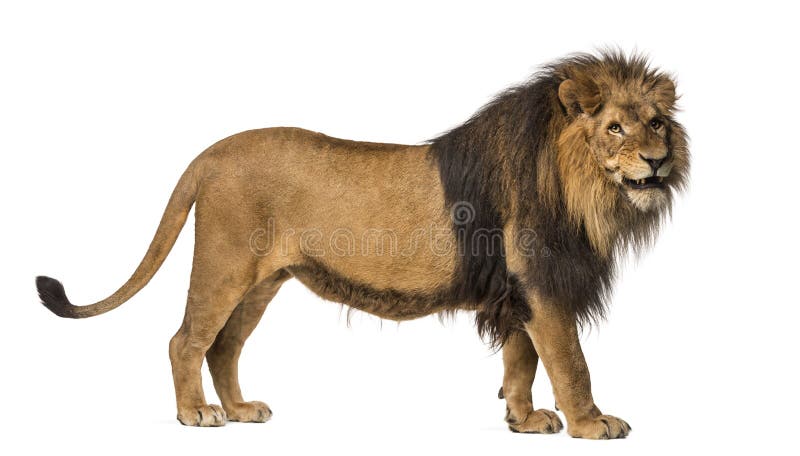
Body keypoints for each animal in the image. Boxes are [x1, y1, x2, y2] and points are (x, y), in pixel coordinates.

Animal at [36, 51, 689, 439]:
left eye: (657, 122)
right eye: (615, 127)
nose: (657, 161)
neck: (586, 191)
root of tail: (211, 153)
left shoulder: (519, 290)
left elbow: (521, 359)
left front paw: (523, 420)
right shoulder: (542, 284)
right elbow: (570, 360)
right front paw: (592, 423)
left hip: (263, 282)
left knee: (223, 348)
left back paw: (243, 410)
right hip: (224, 266)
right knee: (185, 340)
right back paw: (196, 414)